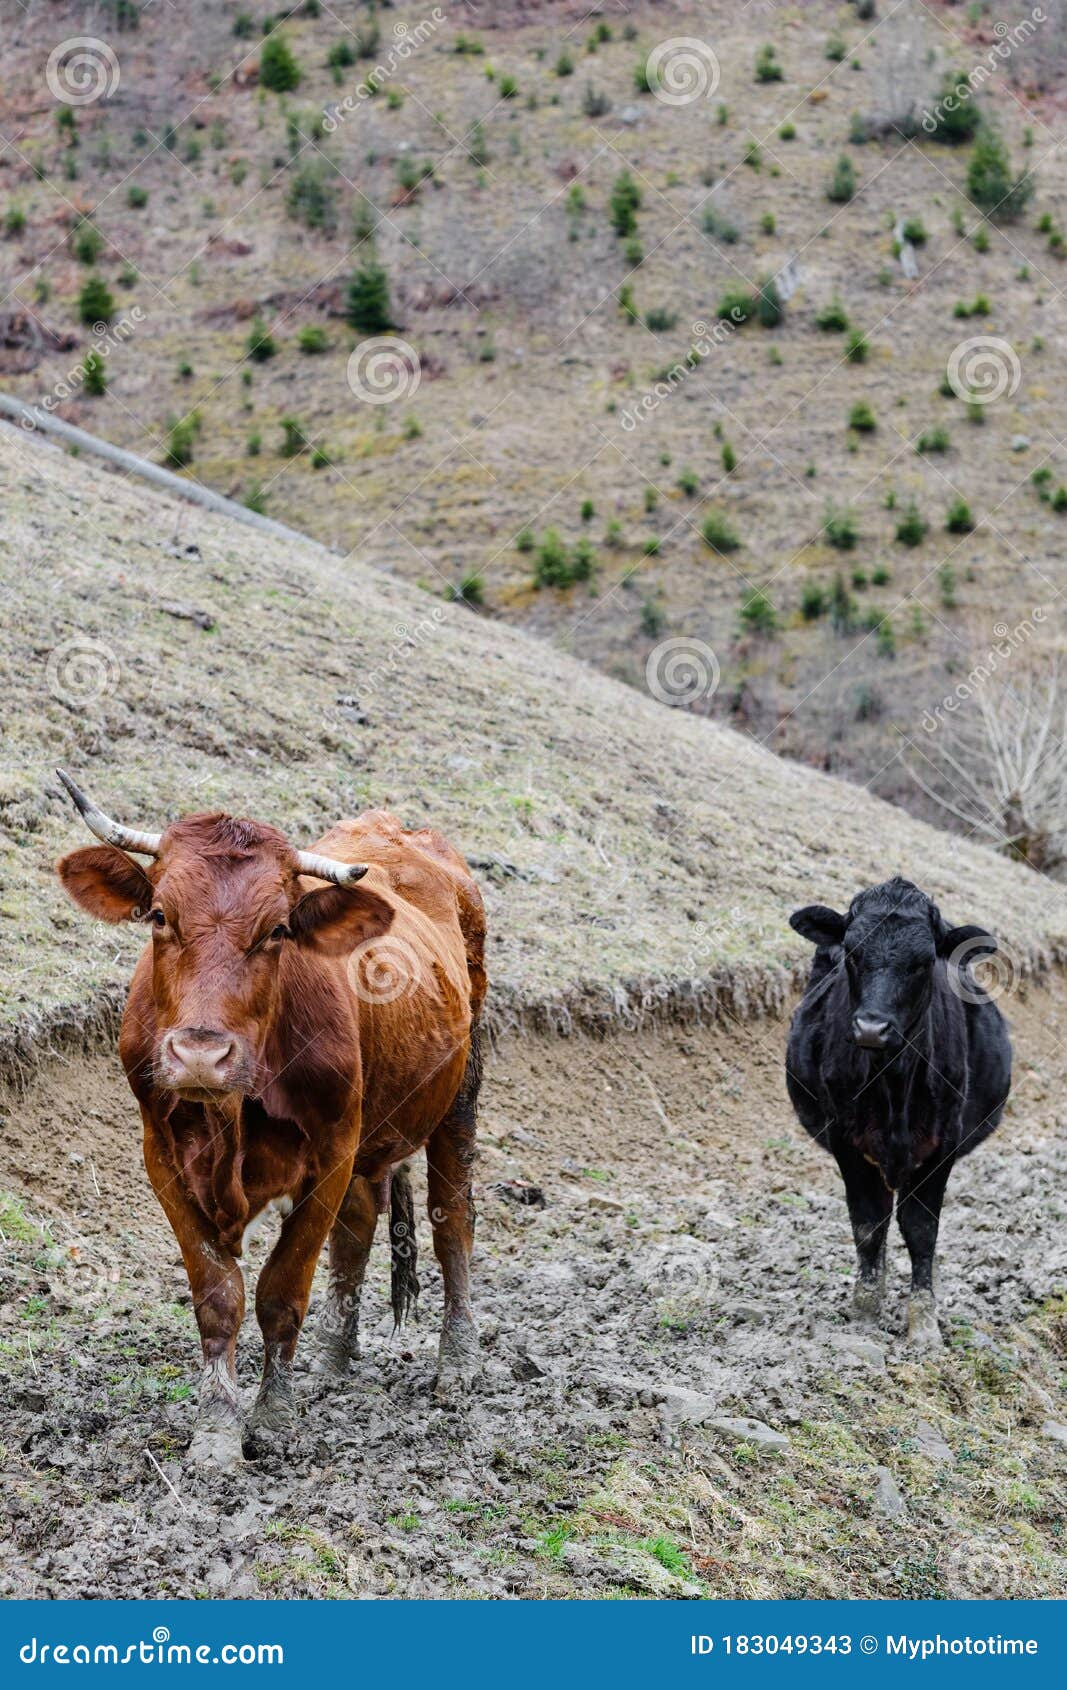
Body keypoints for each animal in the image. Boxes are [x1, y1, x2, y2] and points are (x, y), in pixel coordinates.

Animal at [54, 770, 486, 1466]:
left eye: (279, 929)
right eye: (159, 915)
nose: (201, 1054)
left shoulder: (331, 1150)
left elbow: (282, 1289)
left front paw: (274, 1418)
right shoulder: (160, 1155)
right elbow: (219, 1295)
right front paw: (216, 1428)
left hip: (459, 1096)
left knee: (453, 1220)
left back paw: (459, 1361)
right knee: (358, 1228)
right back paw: (334, 1359)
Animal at [785, 876, 1011, 1348]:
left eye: (923, 962)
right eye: (852, 952)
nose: (871, 1028)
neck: (892, 1082)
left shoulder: (943, 1145)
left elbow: (921, 1230)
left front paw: (923, 1324)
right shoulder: (846, 1141)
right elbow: (869, 1224)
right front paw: (865, 1314)